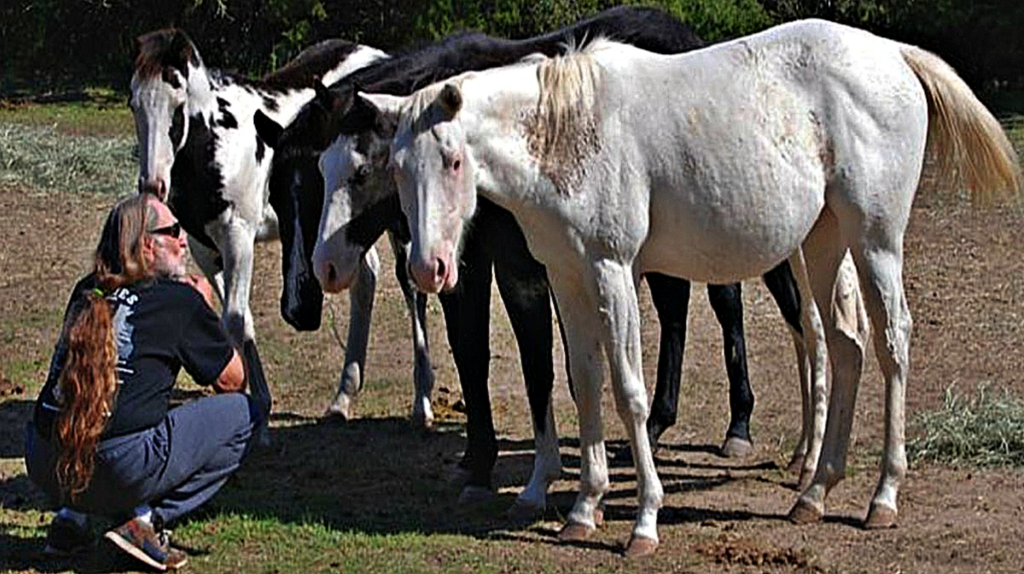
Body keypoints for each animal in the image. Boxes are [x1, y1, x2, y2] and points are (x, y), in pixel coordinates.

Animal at [129, 30, 446, 427]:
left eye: (178, 103)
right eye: (134, 104)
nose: (152, 185)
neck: (215, 142)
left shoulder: (237, 238)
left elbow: (235, 319)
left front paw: (260, 405)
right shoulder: (204, 248)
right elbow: (238, 320)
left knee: (411, 287)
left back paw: (421, 403)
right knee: (366, 278)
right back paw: (342, 399)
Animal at [254, 5, 835, 514]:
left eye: (359, 172)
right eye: (282, 190)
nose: (315, 282)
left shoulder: (518, 270)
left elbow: (539, 365)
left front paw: (535, 473)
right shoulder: (473, 269)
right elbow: (476, 355)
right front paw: (479, 461)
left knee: (732, 306)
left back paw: (740, 427)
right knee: (677, 312)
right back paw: (659, 424)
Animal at [362, 20, 1021, 555]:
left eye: (452, 160)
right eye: (397, 167)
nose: (429, 268)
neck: (567, 131)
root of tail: (893, 54)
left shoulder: (612, 270)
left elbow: (628, 391)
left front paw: (643, 522)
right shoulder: (567, 277)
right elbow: (584, 383)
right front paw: (584, 509)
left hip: (875, 238)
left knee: (891, 343)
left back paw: (882, 496)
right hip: (824, 240)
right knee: (844, 346)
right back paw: (814, 492)